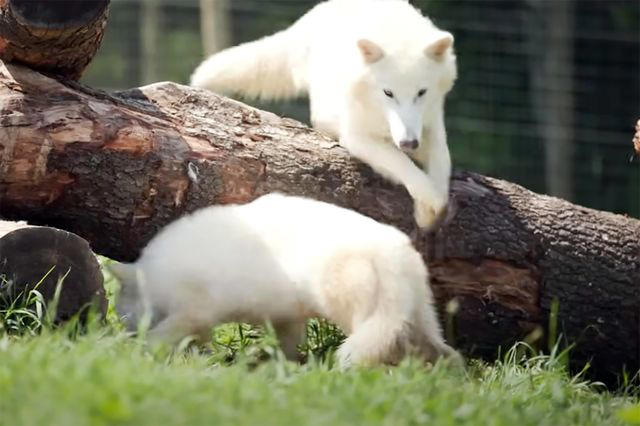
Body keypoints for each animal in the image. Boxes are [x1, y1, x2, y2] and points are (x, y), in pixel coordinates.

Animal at [111, 193, 460, 367]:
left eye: (122, 311)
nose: (124, 329)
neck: (158, 274)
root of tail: (396, 257)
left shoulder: (195, 309)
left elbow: (166, 334)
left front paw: (140, 350)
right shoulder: (286, 315)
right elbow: (287, 345)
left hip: (357, 308)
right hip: (419, 315)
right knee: (444, 351)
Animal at [190, 0, 457, 229]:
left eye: (421, 92)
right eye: (388, 93)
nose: (409, 143)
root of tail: (318, 12)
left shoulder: (430, 125)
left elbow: (442, 162)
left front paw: (430, 209)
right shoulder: (357, 138)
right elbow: (403, 165)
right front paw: (429, 203)